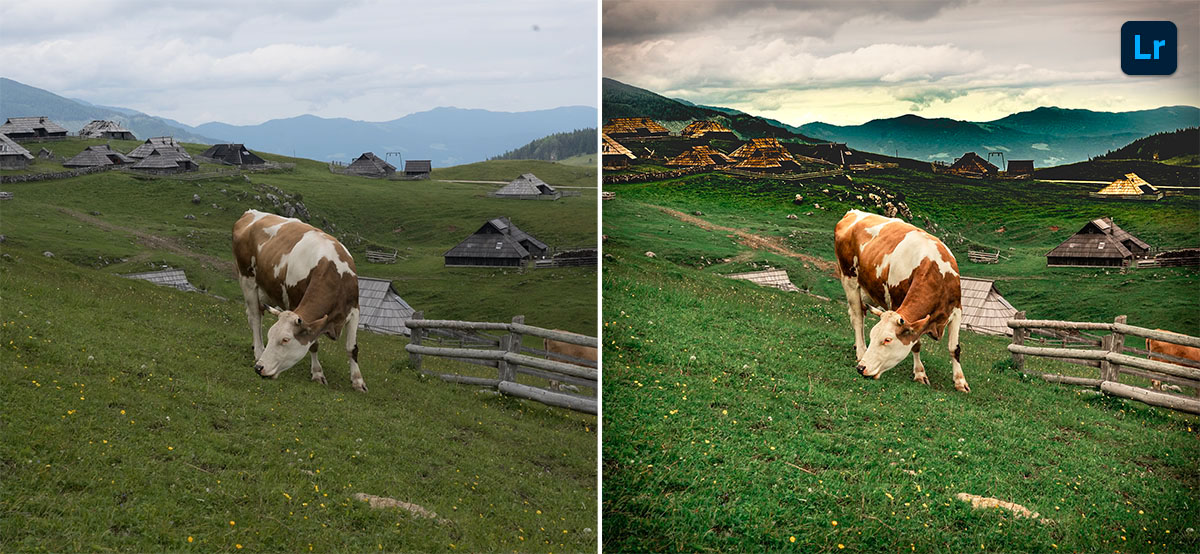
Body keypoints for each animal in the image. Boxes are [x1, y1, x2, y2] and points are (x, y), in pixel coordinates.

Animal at [232, 209, 367, 392]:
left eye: (285, 339)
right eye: (270, 335)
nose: (259, 368)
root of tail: (251, 213)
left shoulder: (354, 310)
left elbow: (352, 348)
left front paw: (358, 382)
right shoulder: (298, 306)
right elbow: (313, 345)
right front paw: (317, 373)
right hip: (248, 280)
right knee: (255, 318)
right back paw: (259, 351)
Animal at [834, 210, 970, 392]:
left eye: (887, 339)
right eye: (873, 335)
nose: (861, 368)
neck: (935, 271)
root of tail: (853, 212)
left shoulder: (956, 310)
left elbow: (954, 348)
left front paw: (961, 382)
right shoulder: (899, 305)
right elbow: (916, 344)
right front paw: (920, 373)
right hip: (849, 279)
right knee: (857, 318)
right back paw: (861, 351)